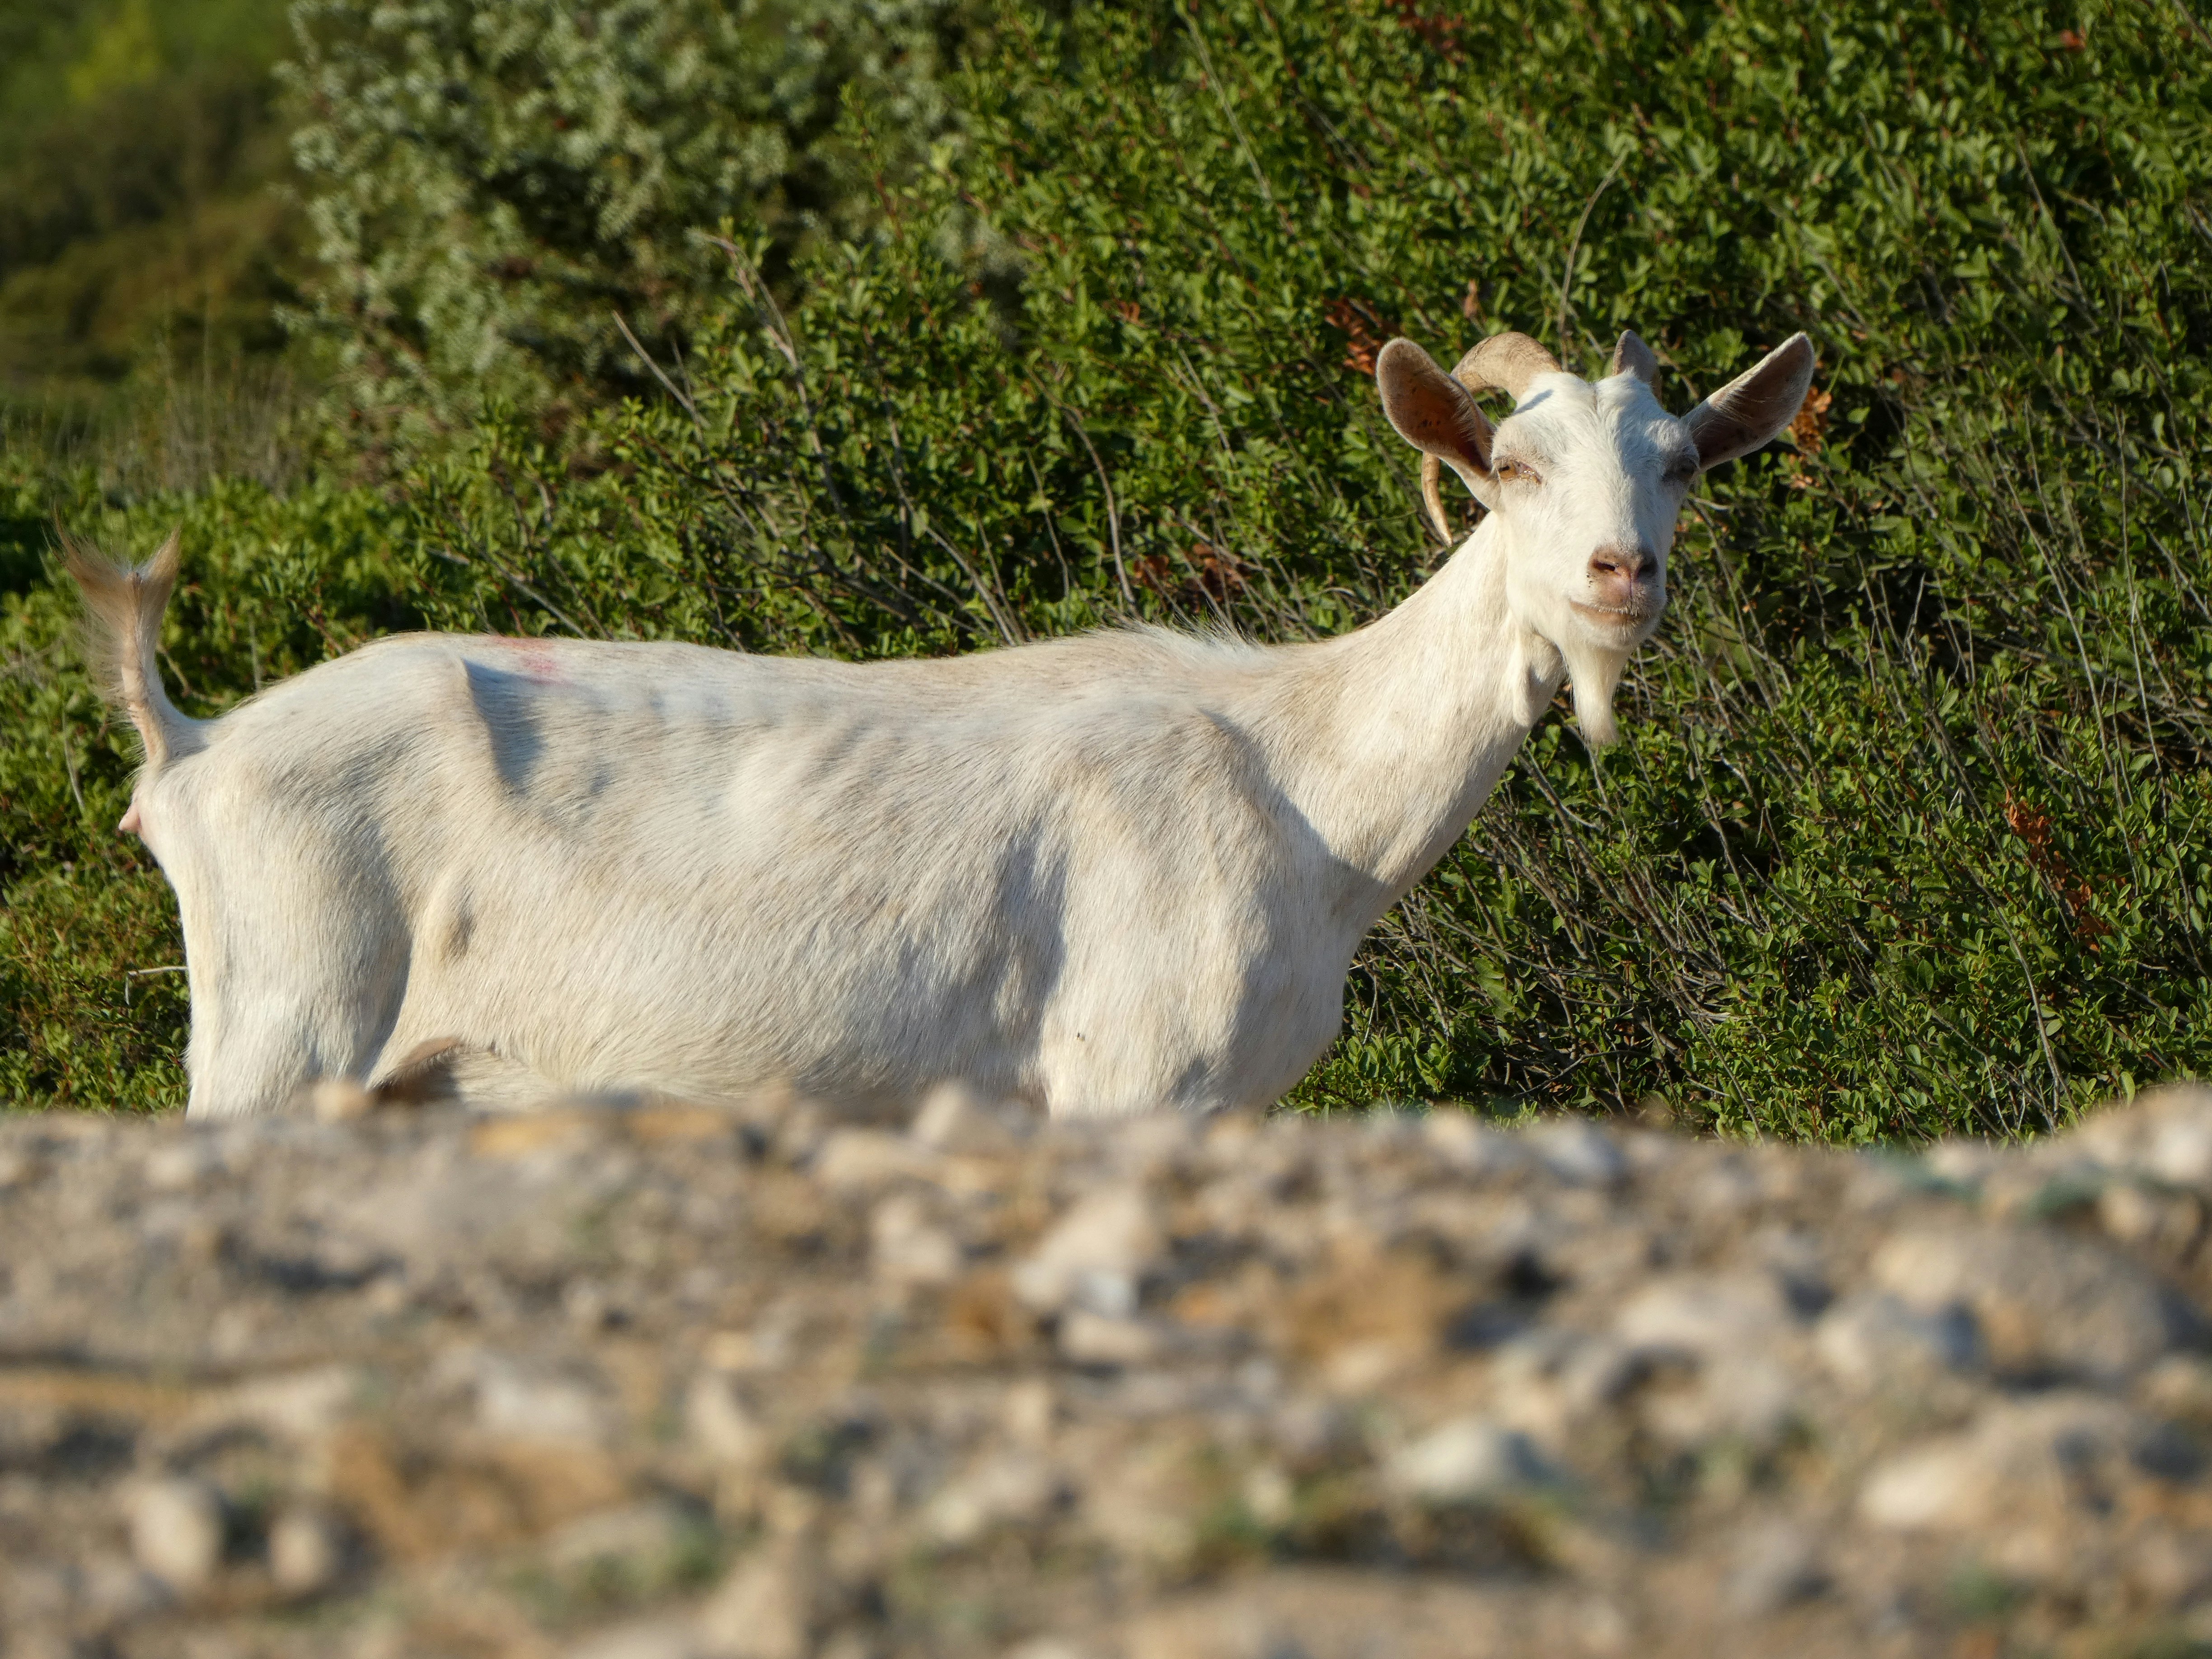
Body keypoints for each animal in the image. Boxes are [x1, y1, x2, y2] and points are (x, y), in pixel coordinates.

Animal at [70, 327, 1813, 1119]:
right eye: (1509, 465)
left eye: (1680, 462)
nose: (1620, 574)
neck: (1310, 788)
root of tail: (193, 751)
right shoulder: (1130, 1078)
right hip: (284, 1029)